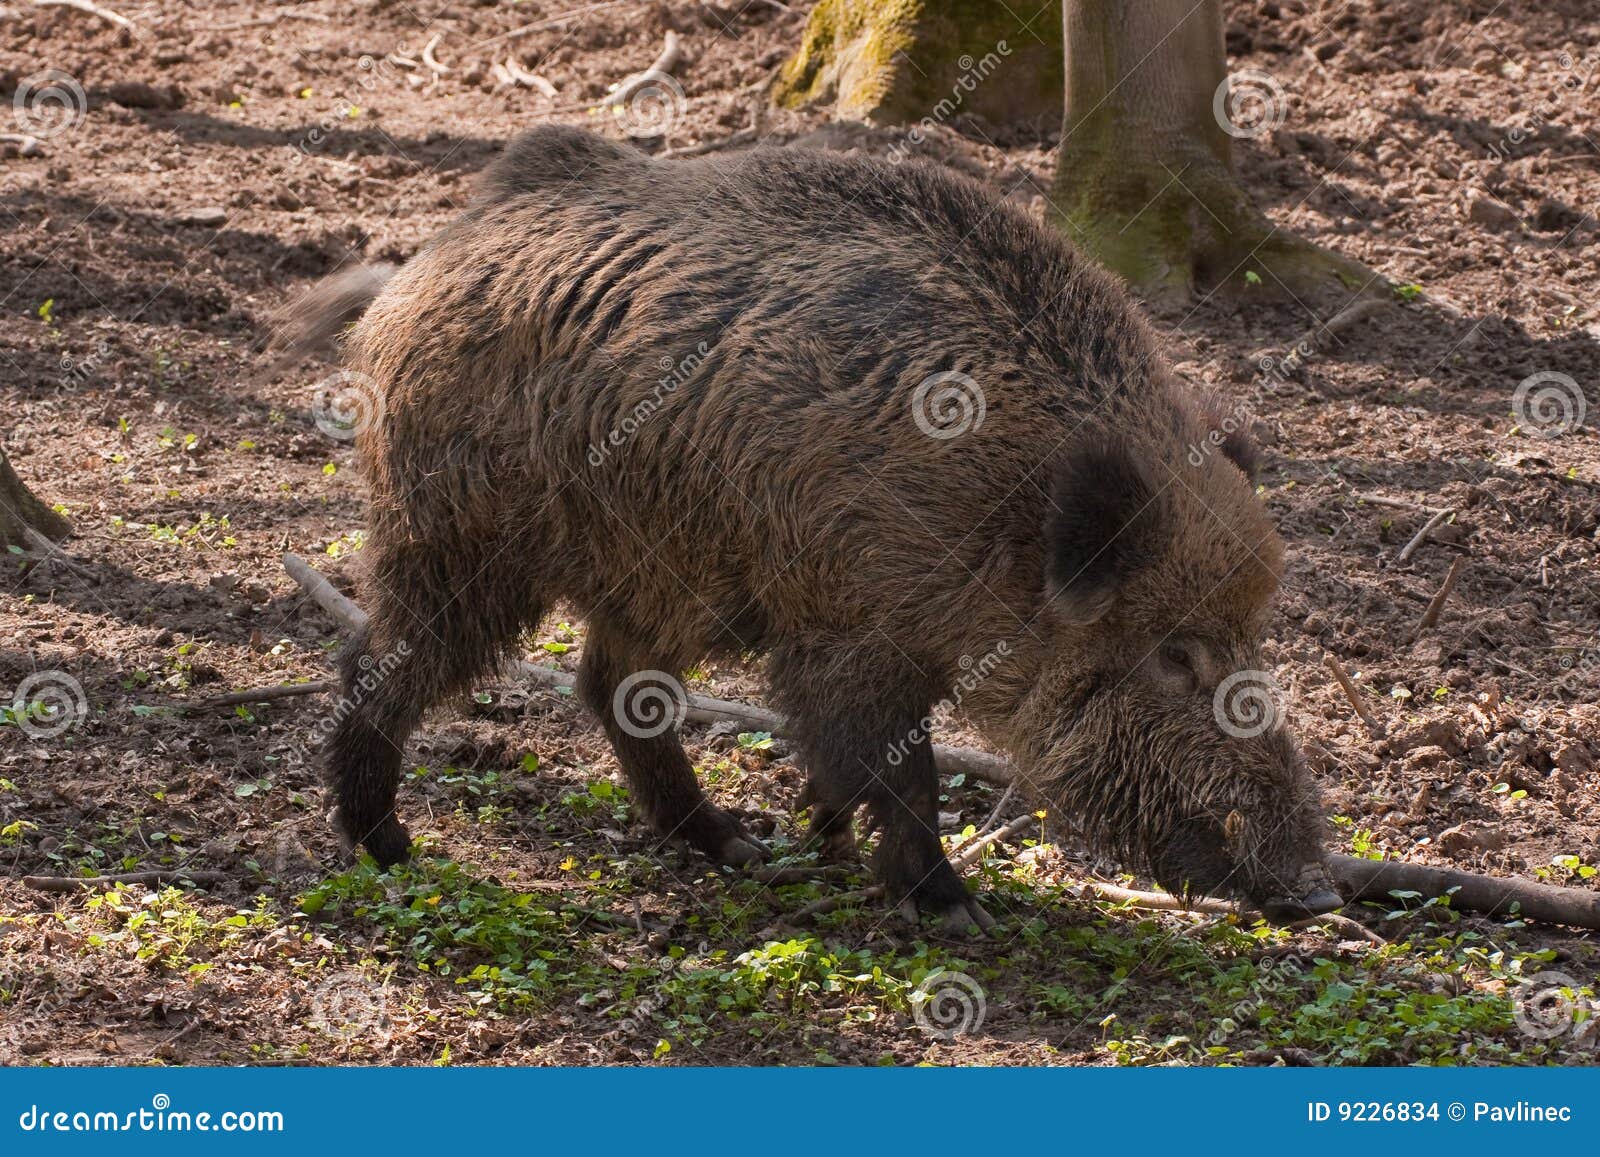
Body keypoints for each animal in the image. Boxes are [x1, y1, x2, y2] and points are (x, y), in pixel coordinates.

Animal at [290, 125, 1340, 931]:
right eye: (1173, 655)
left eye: (1255, 635)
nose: (1318, 891)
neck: (1006, 508)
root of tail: (437, 250)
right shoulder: (852, 629)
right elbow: (899, 766)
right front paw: (955, 911)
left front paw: (819, 838)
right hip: (460, 535)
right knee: (381, 660)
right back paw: (388, 847)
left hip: (662, 565)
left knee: (611, 684)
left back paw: (733, 845)